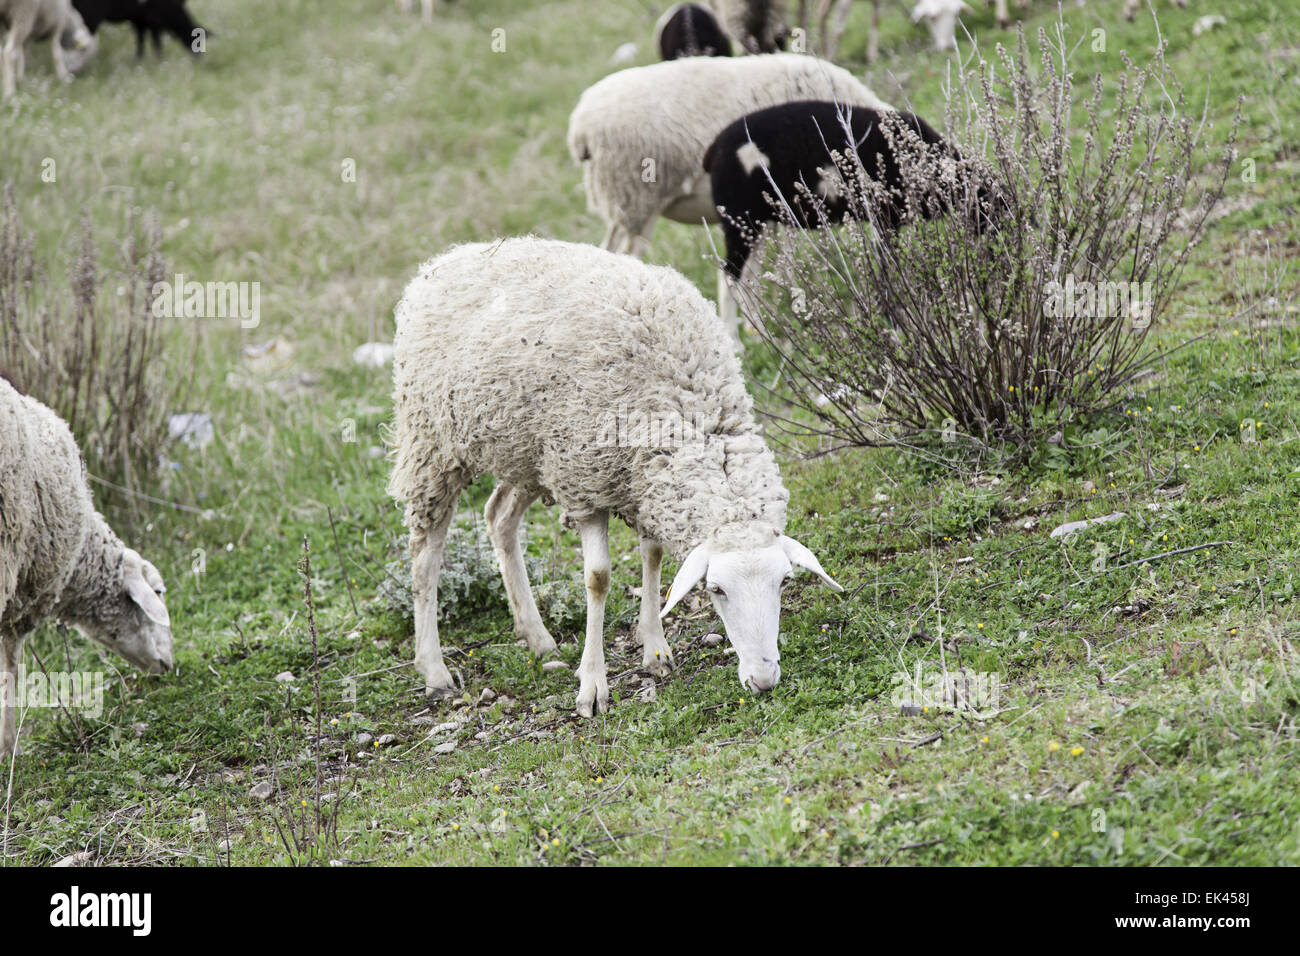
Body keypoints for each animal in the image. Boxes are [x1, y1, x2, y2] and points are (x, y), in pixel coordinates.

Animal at [72, 0, 204, 58]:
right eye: (197, 42)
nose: (199, 59)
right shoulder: (154, 20)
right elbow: (157, 43)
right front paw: (159, 60)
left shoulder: (139, 20)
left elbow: (141, 41)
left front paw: (138, 60)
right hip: (90, 16)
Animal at [388, 237, 843, 716]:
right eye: (716, 589)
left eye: (785, 581)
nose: (763, 680)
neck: (682, 400)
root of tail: (447, 258)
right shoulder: (584, 482)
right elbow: (598, 579)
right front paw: (593, 684)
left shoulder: (644, 481)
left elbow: (653, 556)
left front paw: (655, 648)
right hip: (433, 443)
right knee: (425, 553)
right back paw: (434, 670)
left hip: (529, 453)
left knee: (498, 518)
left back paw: (537, 636)